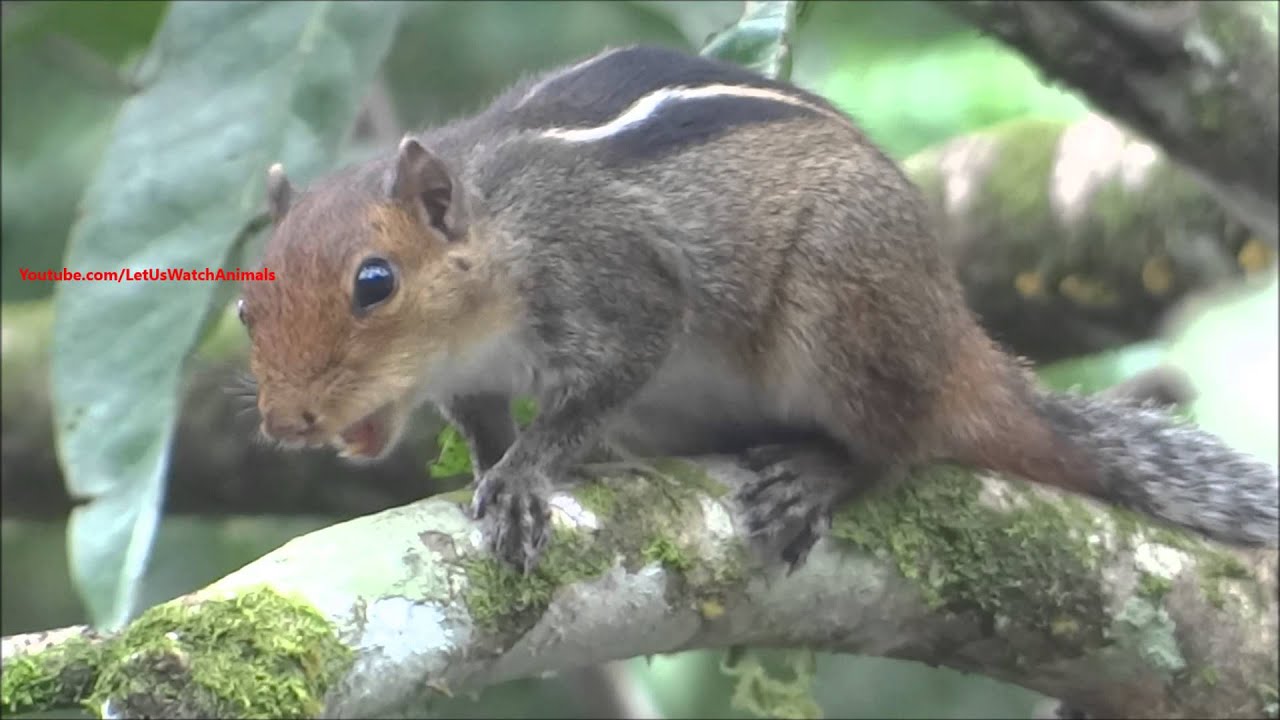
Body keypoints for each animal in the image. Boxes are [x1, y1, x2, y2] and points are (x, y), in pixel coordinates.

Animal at [238, 45, 1279, 573]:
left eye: (375, 282)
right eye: (249, 308)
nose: (288, 423)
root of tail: (959, 350)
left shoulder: (618, 284)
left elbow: (603, 377)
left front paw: (529, 477)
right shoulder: (475, 377)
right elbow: (489, 423)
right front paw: (495, 466)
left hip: (847, 311)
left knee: (899, 444)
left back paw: (822, 472)